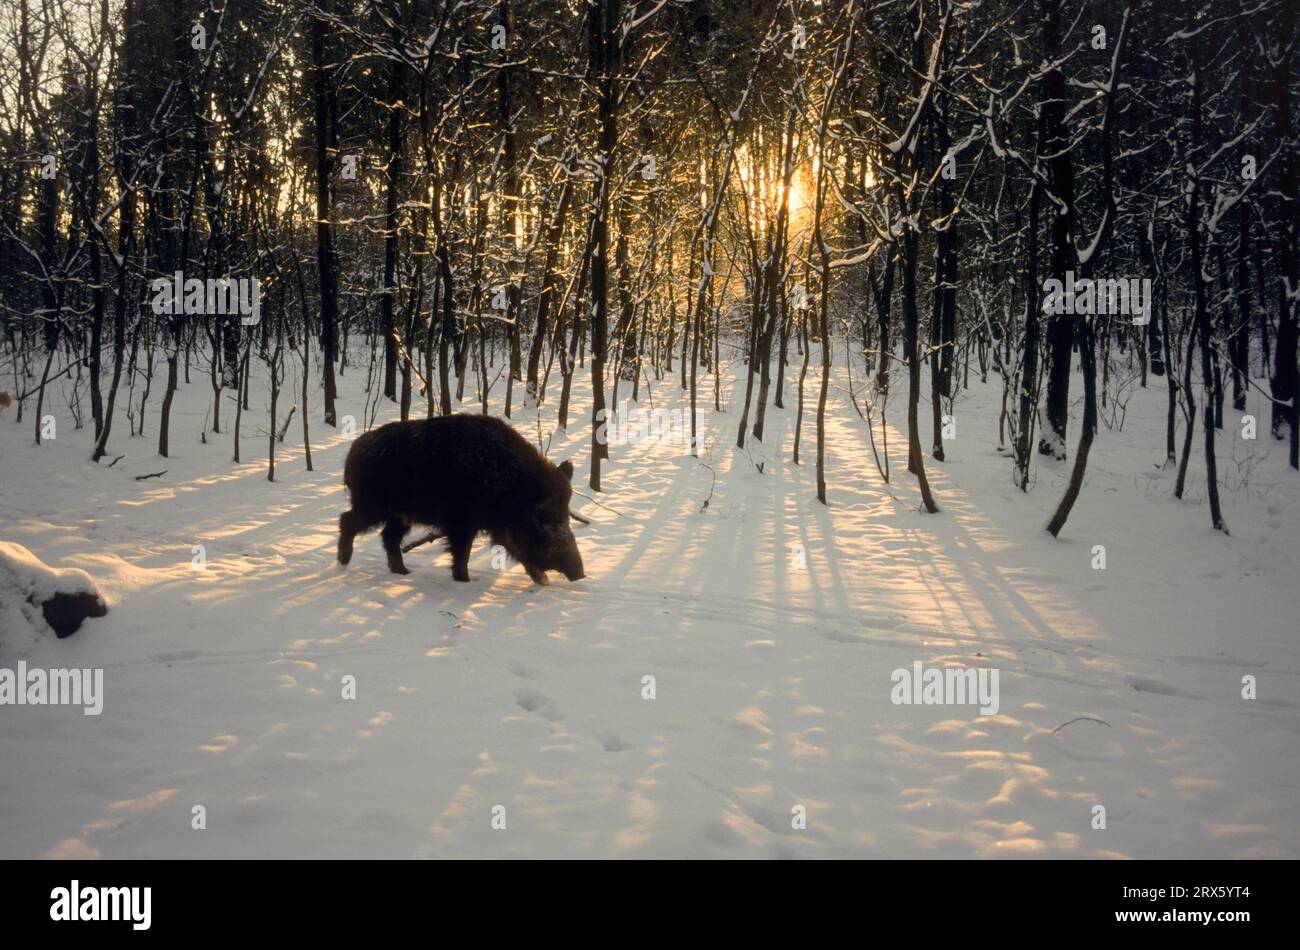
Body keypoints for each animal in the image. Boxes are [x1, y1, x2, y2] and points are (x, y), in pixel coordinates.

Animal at [337, 414, 585, 585]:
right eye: (543, 517)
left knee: (388, 536)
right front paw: (463, 581)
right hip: (372, 505)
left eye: (566, 514)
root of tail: (353, 452)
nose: (580, 573)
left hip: (400, 515)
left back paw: (403, 573)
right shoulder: (462, 524)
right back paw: (344, 562)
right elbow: (462, 553)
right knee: (347, 520)